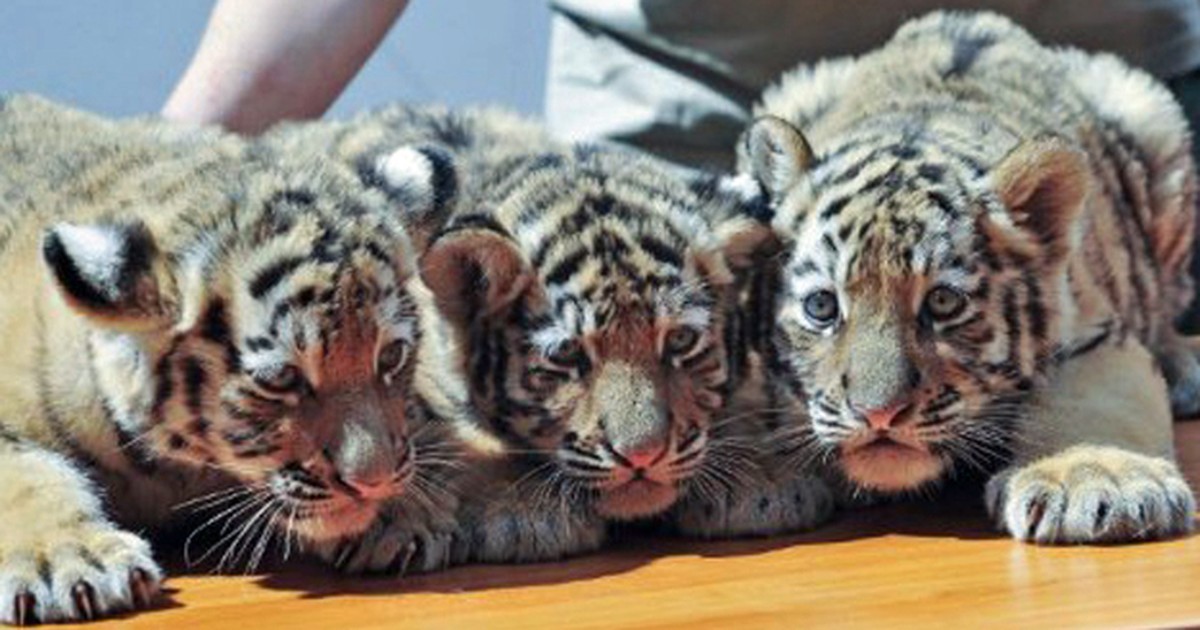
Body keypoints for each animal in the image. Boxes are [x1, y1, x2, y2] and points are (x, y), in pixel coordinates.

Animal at [0, 95, 469, 624]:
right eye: (282, 377)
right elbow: (20, 473)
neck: (175, 469)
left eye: (391, 355)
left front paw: (403, 516)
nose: (374, 486)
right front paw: (65, 558)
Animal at [732, 11, 1198, 544]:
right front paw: (758, 483)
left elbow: (1095, 404)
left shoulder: (1097, 335)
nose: (878, 414)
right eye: (822, 307)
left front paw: (1094, 481)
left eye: (943, 303)